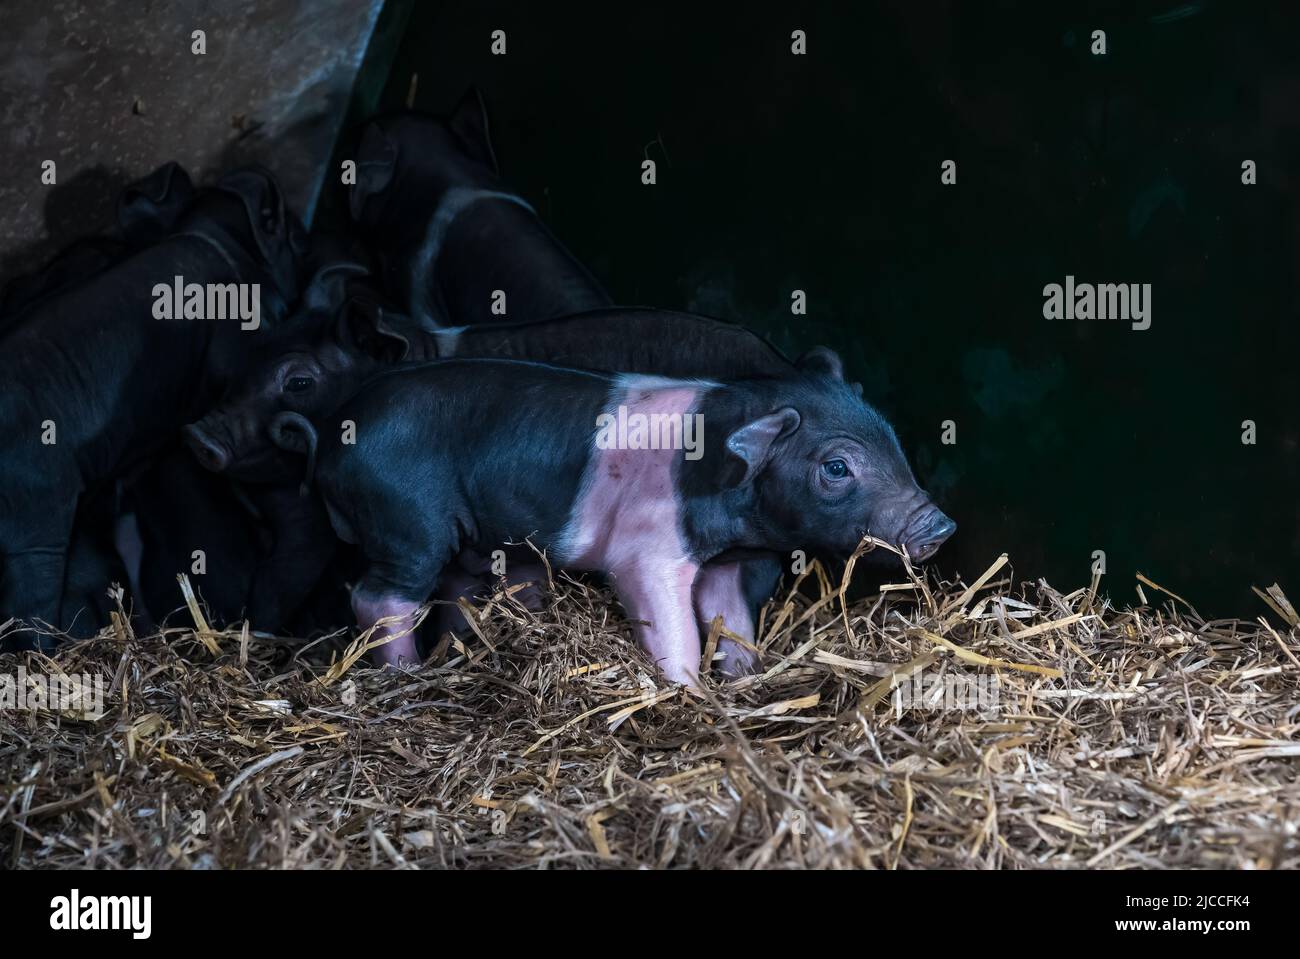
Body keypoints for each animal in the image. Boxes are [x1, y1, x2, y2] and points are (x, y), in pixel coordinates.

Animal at [307, 358, 955, 683]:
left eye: (893, 440)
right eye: (837, 467)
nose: (939, 527)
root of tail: (332, 437)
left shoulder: (727, 561)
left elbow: (730, 616)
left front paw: (744, 675)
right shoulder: (647, 553)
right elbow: (674, 626)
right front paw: (689, 690)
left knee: (454, 589)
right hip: (406, 521)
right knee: (380, 596)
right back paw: (404, 675)